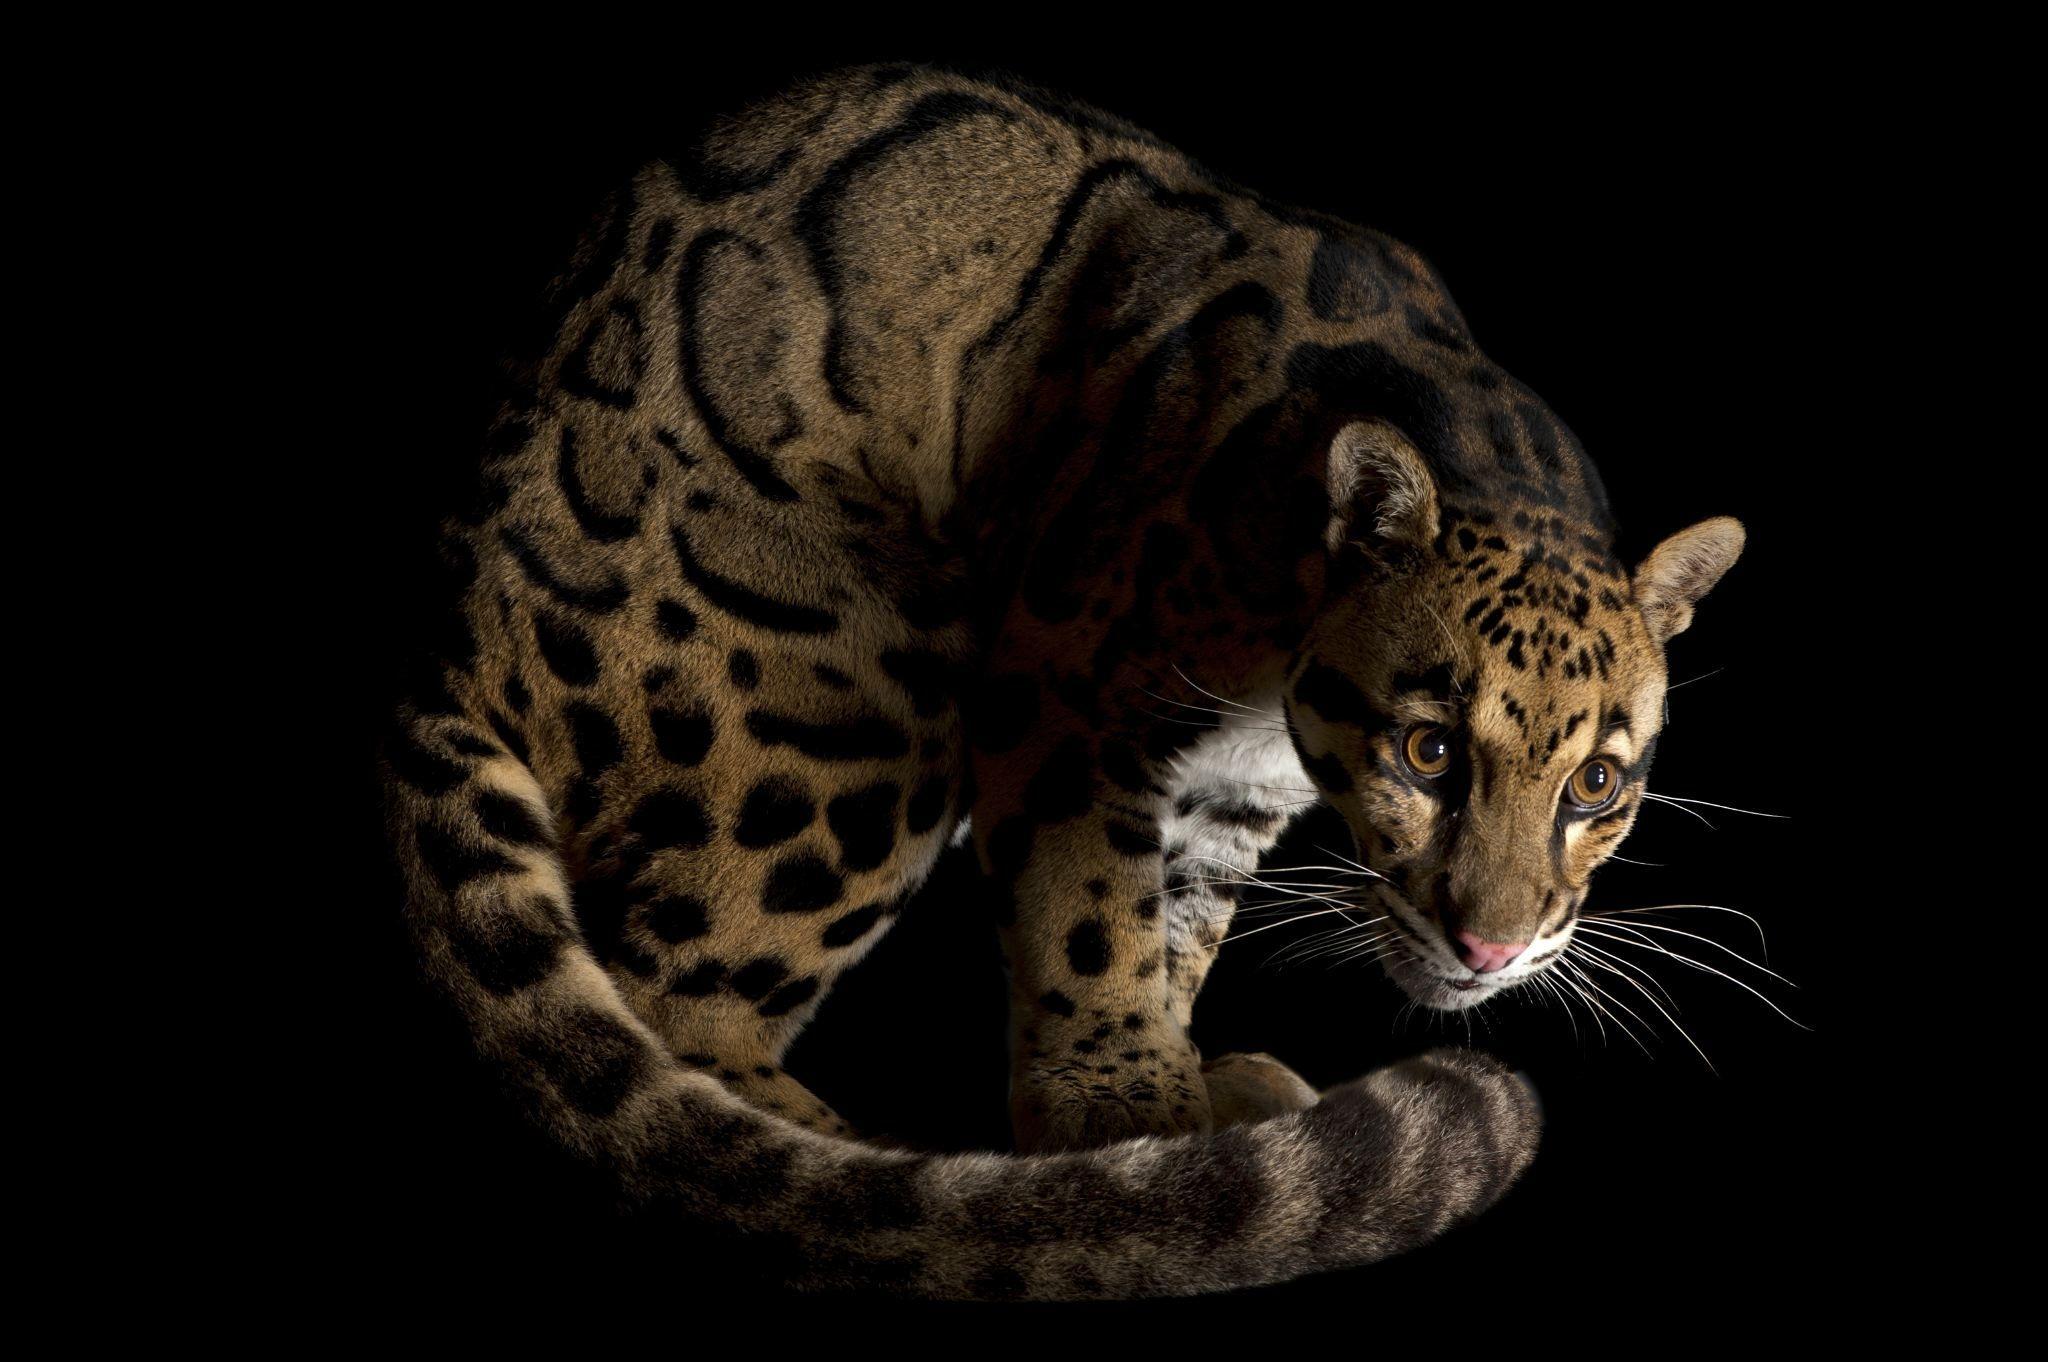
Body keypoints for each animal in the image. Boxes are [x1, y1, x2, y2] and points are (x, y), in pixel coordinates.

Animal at [382, 63, 1744, 1300]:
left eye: (1597, 785)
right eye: (1430, 751)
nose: (1489, 947)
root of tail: (450, 617)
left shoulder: (1233, 784)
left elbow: (1178, 921)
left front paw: (1176, 1089)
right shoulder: (1057, 695)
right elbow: (1092, 911)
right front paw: (1132, 1122)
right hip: (867, 690)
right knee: (678, 1004)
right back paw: (866, 1166)